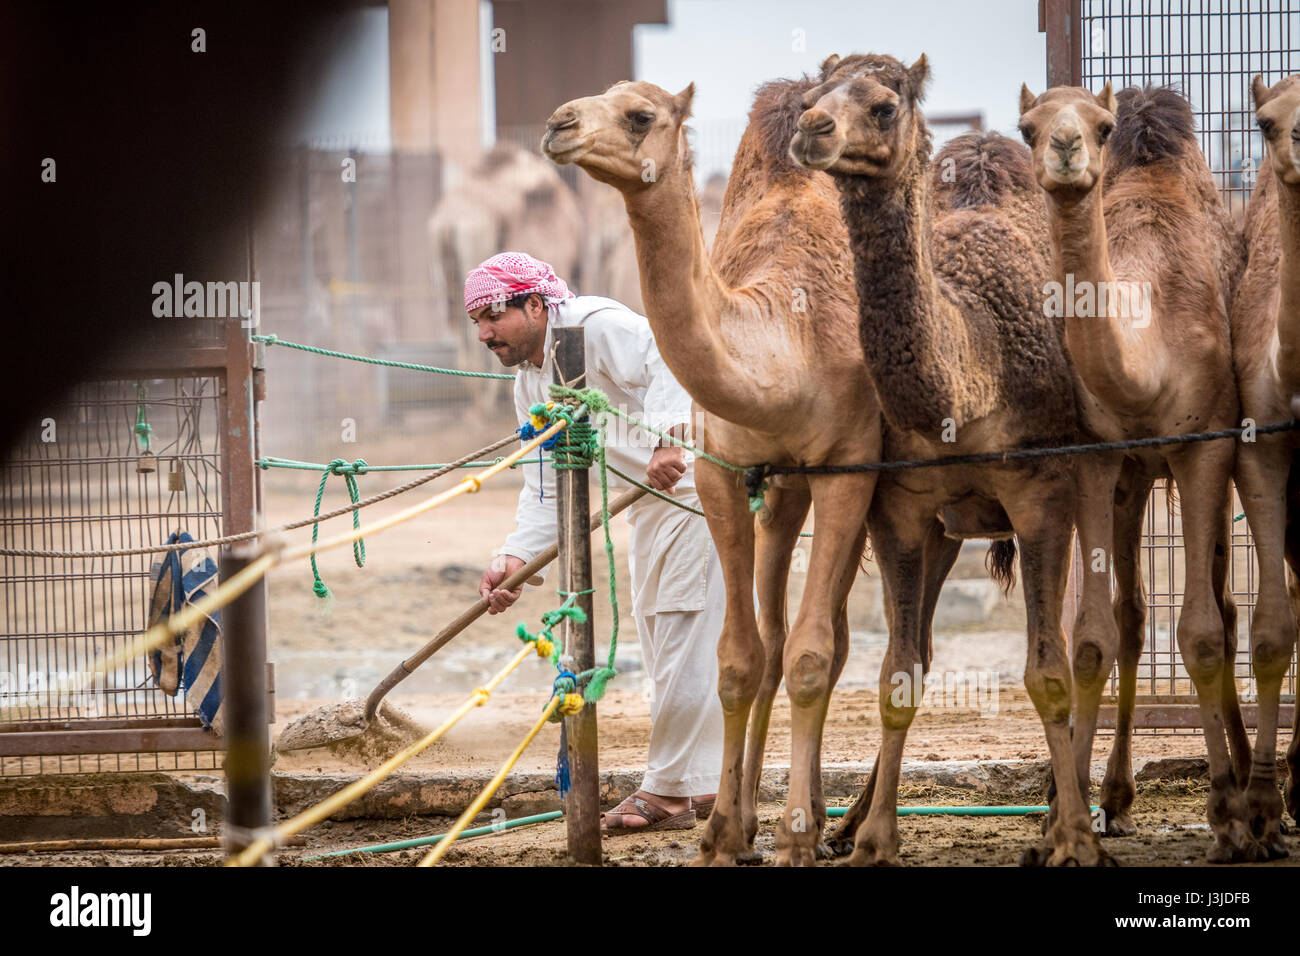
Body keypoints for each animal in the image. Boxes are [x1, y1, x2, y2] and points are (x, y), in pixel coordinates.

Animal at [541, 75, 887, 867]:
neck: (785, 337)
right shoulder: (722, 471)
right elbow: (740, 658)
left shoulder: (851, 467)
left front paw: (793, 836)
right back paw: (795, 819)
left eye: (641, 115)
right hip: (785, 492)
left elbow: (813, 656)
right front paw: (725, 832)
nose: (558, 123)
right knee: (782, 637)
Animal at [790, 52, 1106, 865]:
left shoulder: (1041, 495)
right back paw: (849, 823)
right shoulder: (900, 510)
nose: (812, 129)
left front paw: (1072, 841)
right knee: (925, 647)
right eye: (812, 96)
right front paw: (874, 839)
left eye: (882, 105)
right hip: (941, 529)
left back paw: (1074, 812)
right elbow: (899, 671)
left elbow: (1048, 671)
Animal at [1016, 84, 1262, 860]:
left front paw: (1227, 818)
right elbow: (1093, 637)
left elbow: (1204, 633)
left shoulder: (1204, 449)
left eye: (1100, 126)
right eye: (1027, 127)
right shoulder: (1095, 458)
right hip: (1132, 480)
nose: (1066, 150)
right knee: (1130, 617)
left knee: (1224, 606)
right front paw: (1060, 827)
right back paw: (1117, 800)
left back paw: (1256, 796)